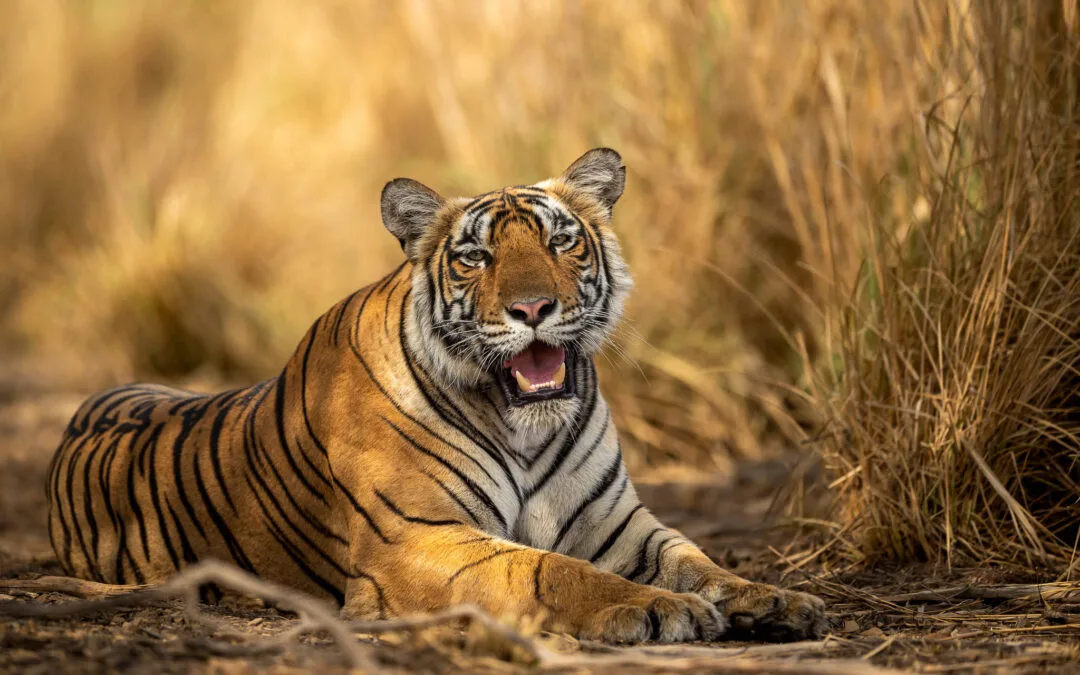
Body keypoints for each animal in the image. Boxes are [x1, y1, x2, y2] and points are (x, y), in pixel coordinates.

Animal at [45, 149, 827, 643]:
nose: (533, 308)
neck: (525, 425)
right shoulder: (416, 537)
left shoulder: (616, 523)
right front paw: (663, 609)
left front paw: (777, 598)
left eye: (561, 242)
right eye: (476, 256)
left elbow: (696, 558)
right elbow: (550, 569)